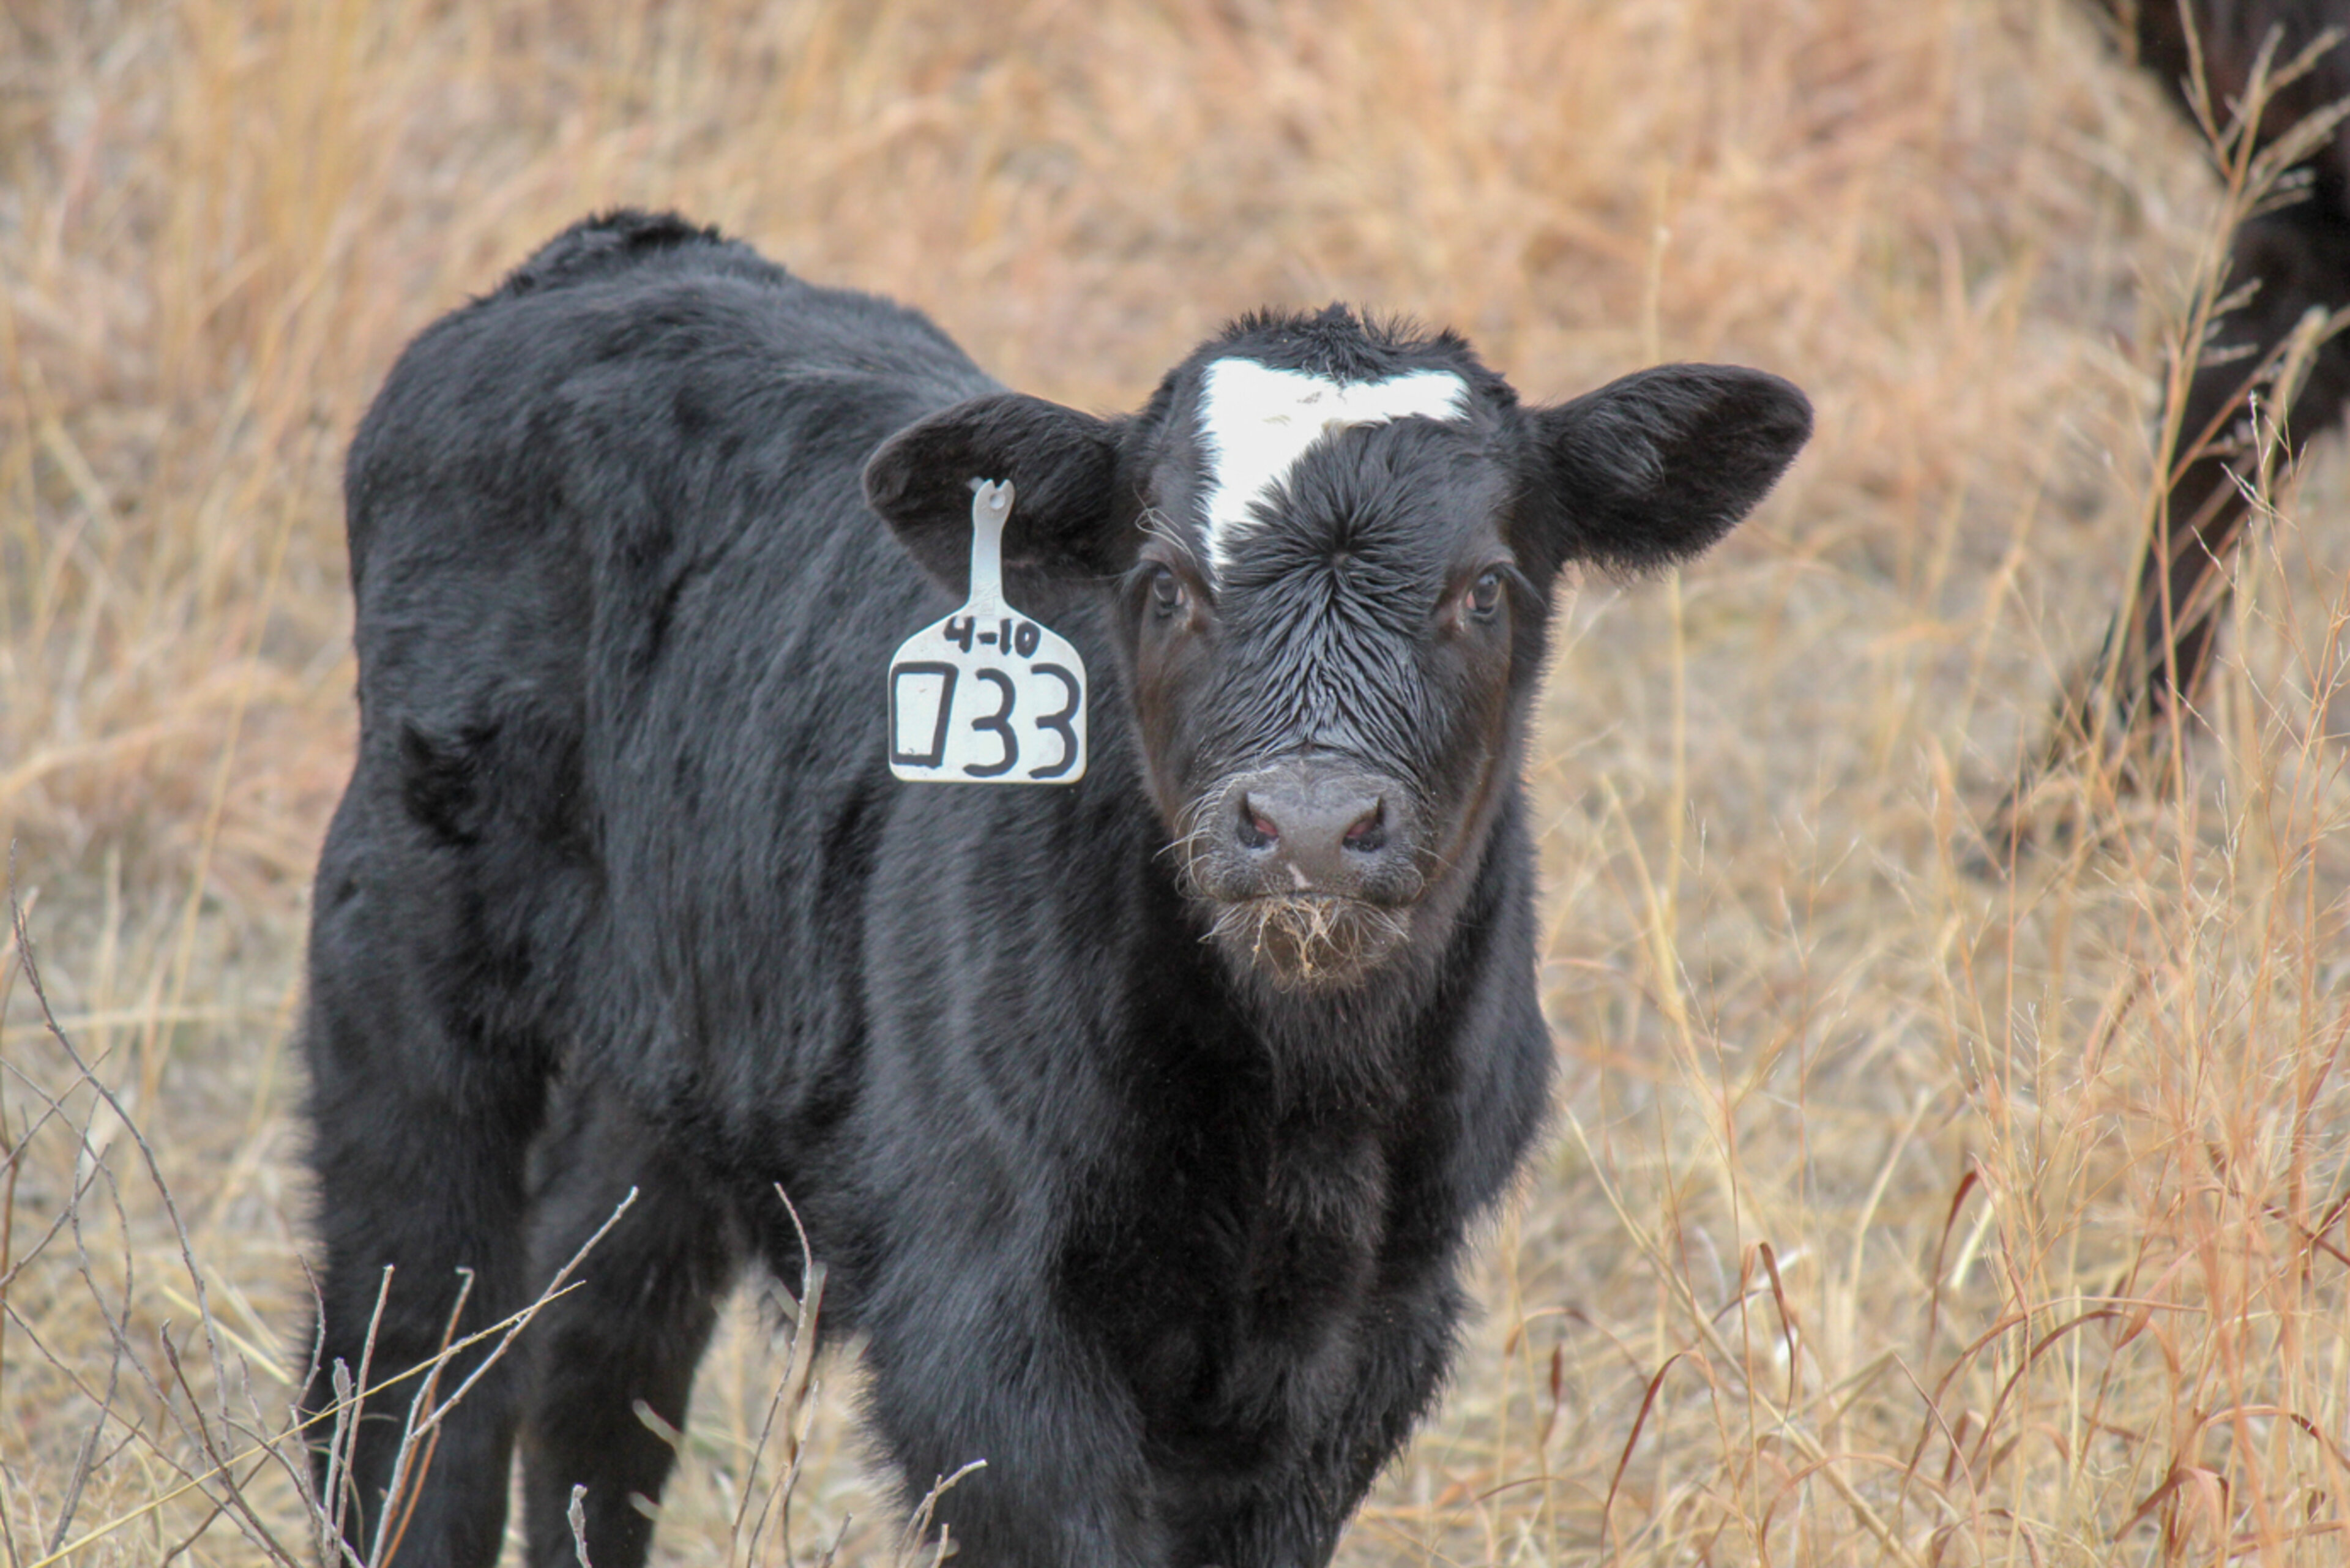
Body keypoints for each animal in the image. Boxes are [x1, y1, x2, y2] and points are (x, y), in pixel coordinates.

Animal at [300, 208, 1811, 1568]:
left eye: (1486, 590)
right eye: (1164, 586)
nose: (1311, 828)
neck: (1300, 1114)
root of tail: (616, 254)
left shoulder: (1376, 1327)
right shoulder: (980, 1319)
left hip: (676, 1036)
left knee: (593, 1344)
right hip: (399, 939)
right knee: (408, 1356)